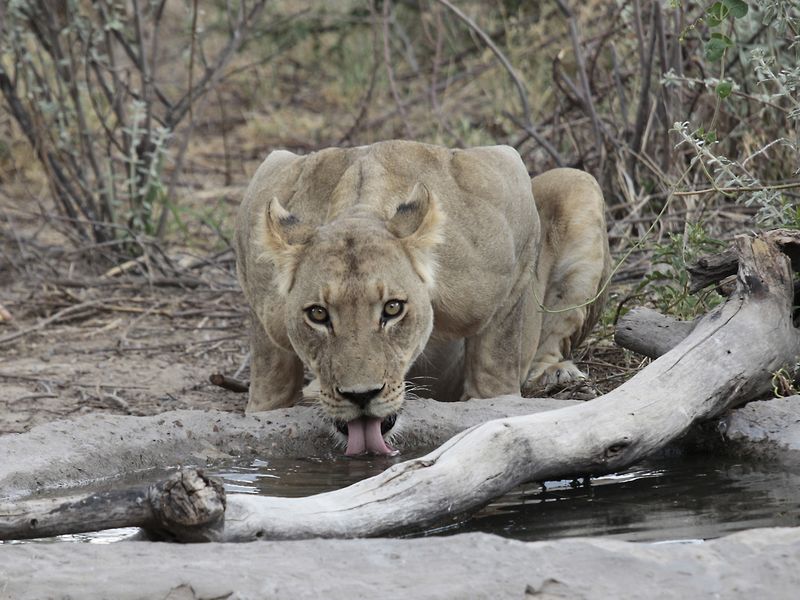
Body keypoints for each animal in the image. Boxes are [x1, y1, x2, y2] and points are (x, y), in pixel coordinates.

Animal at [234, 140, 610, 455]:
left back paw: (555, 374)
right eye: (318, 314)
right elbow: (270, 385)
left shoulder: (507, 183)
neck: (359, 205)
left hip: (578, 183)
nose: (361, 395)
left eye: (392, 309)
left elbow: (494, 371)